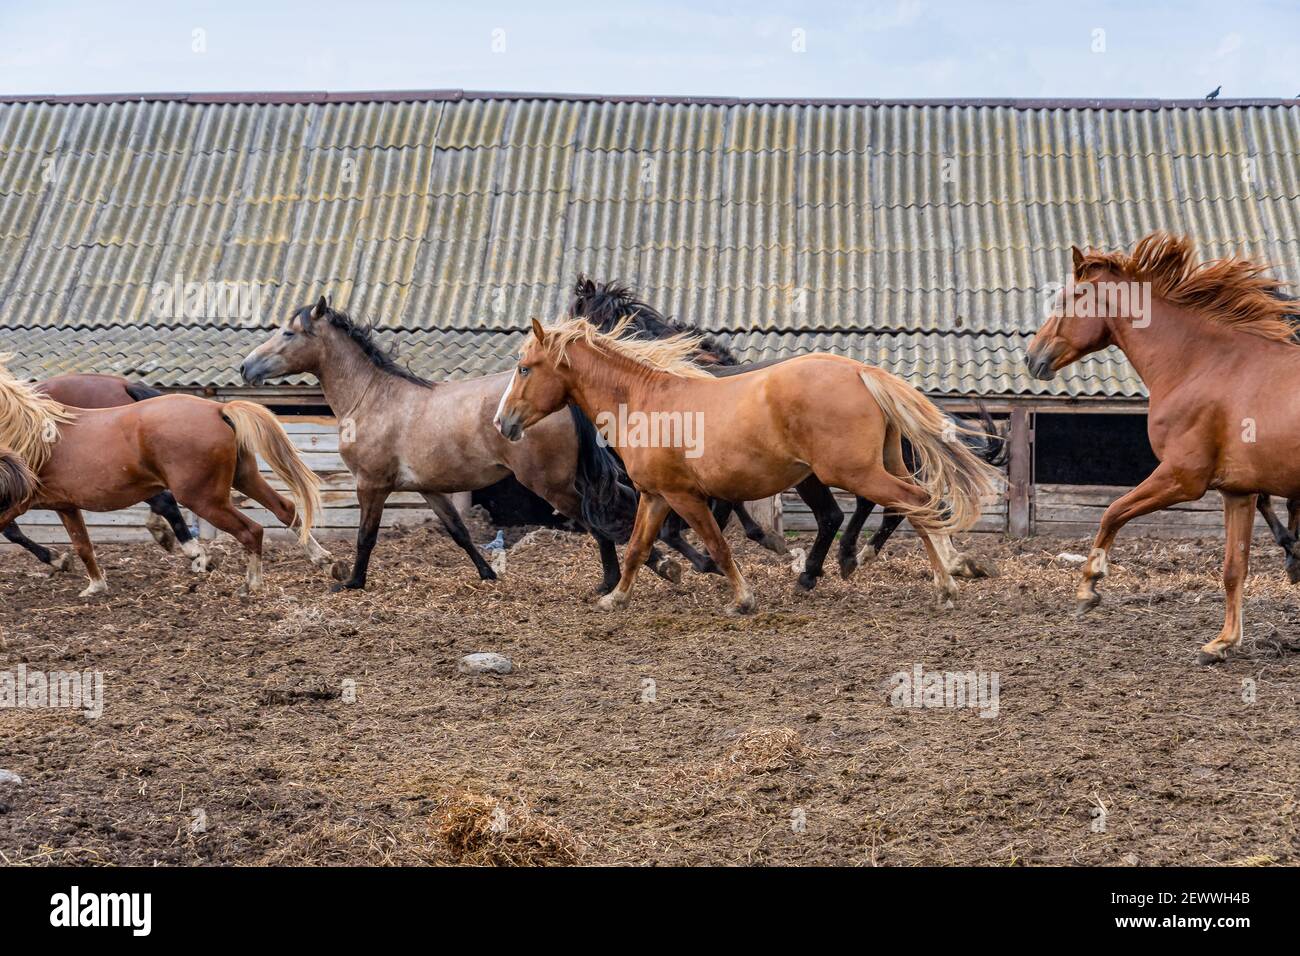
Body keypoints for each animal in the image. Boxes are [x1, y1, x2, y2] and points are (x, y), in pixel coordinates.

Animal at [1, 373, 207, 573]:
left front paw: (57, 559)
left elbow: (11, 530)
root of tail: (124, 384)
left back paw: (188, 548)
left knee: (165, 500)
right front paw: (57, 559)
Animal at [238, 297, 682, 594]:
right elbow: (459, 533)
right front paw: (488, 574)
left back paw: (621, 577)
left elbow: (366, 536)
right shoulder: (429, 490)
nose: (245, 367)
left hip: (551, 484)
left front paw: (351, 581)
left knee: (599, 519)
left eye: (288, 333)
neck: (373, 397)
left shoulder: (372, 485)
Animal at [495, 318, 999, 614]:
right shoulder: (656, 496)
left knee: (909, 504)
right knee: (911, 507)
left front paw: (742, 598)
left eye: (524, 368)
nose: (503, 422)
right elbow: (638, 547)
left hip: (851, 473)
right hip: (884, 464)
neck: (645, 400)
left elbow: (718, 546)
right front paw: (616, 598)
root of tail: (861, 372)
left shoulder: (685, 496)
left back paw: (941, 583)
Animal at [568, 275, 1002, 589]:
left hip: (837, 468)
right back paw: (851, 561)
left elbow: (686, 528)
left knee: (865, 509)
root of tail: (875, 378)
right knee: (880, 508)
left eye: (576, 311)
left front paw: (710, 562)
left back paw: (840, 563)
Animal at [1026, 231, 1300, 663]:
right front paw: (1221, 643)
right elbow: (1233, 568)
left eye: (1068, 299)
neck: (1200, 363)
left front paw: (1089, 588)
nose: (1031, 358)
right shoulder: (1238, 492)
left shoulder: (1182, 478)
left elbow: (1112, 513)